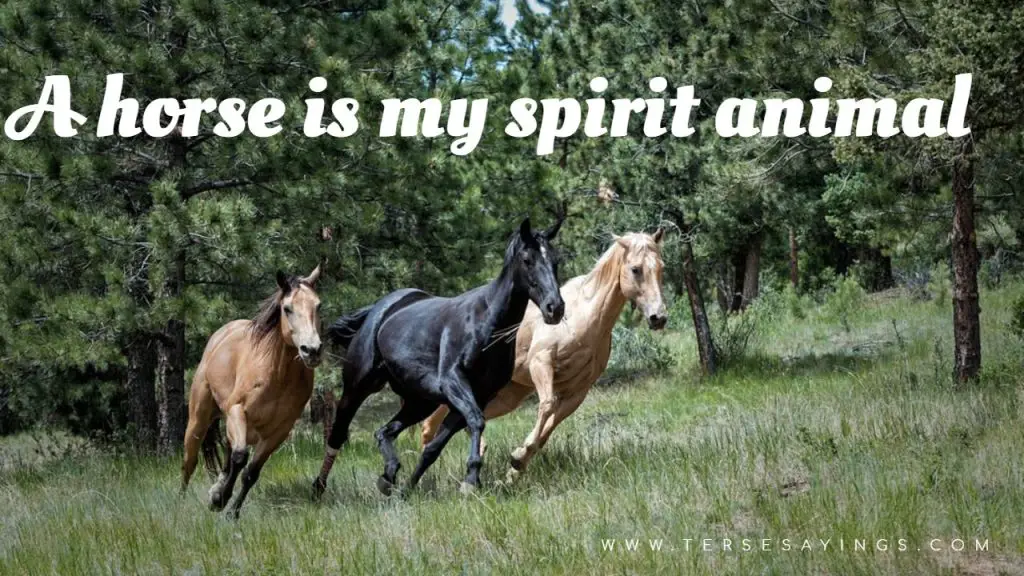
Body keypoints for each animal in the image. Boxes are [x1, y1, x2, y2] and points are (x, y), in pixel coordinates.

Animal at [180, 265, 323, 518]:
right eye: (287, 308)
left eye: (318, 306)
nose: (312, 350)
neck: (277, 375)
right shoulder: (237, 411)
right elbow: (240, 458)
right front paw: (220, 500)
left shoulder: (279, 431)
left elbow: (251, 472)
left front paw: (230, 511)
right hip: (199, 420)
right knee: (189, 461)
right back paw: (180, 504)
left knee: (228, 454)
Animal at [312, 217, 565, 498]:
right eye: (527, 259)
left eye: (555, 260)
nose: (555, 308)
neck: (485, 323)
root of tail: (379, 309)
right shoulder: (453, 382)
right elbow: (476, 421)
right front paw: (470, 479)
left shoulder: (476, 395)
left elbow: (434, 447)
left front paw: (409, 488)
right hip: (357, 388)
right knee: (337, 434)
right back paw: (318, 488)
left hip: (420, 402)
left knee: (384, 432)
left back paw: (389, 476)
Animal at [420, 230, 667, 479]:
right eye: (635, 269)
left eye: (660, 267)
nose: (659, 317)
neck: (584, 318)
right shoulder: (541, 364)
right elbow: (547, 405)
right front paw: (518, 457)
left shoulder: (578, 390)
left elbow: (550, 426)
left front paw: (516, 465)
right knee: (433, 423)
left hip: (507, 395)